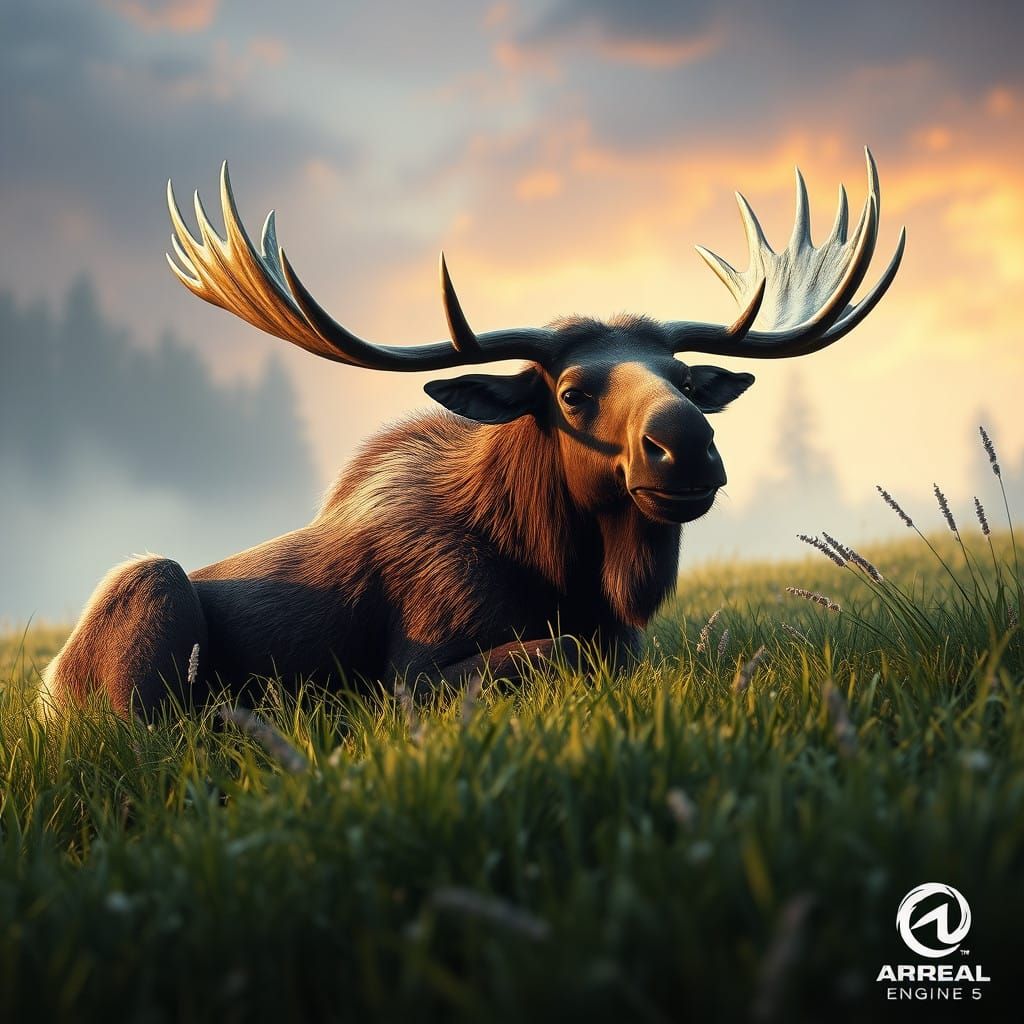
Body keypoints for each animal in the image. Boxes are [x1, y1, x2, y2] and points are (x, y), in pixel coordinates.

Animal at [41, 149, 904, 717]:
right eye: (571, 393)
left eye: (689, 382)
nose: (685, 446)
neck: (564, 566)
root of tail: (46, 687)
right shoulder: (413, 670)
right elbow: (564, 652)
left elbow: (610, 653)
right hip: (146, 594)